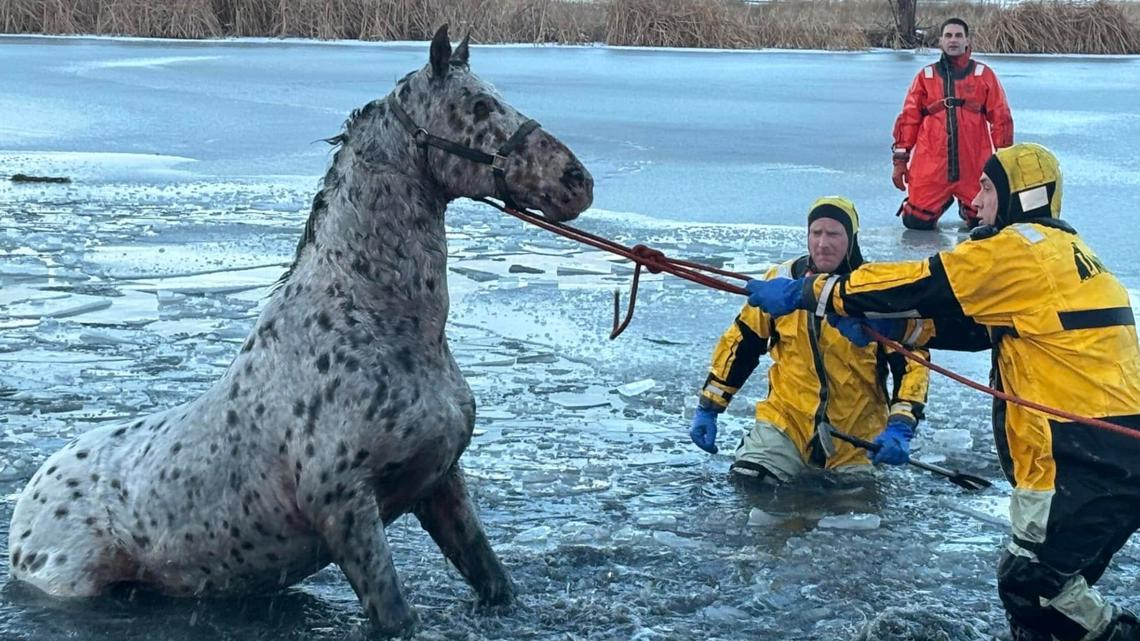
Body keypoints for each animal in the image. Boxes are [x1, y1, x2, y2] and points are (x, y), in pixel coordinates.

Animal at [7, 24, 593, 637]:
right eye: (478, 105)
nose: (577, 181)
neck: (374, 323)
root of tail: (28, 503)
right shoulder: (345, 507)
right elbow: (394, 613)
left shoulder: (440, 482)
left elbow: (491, 577)